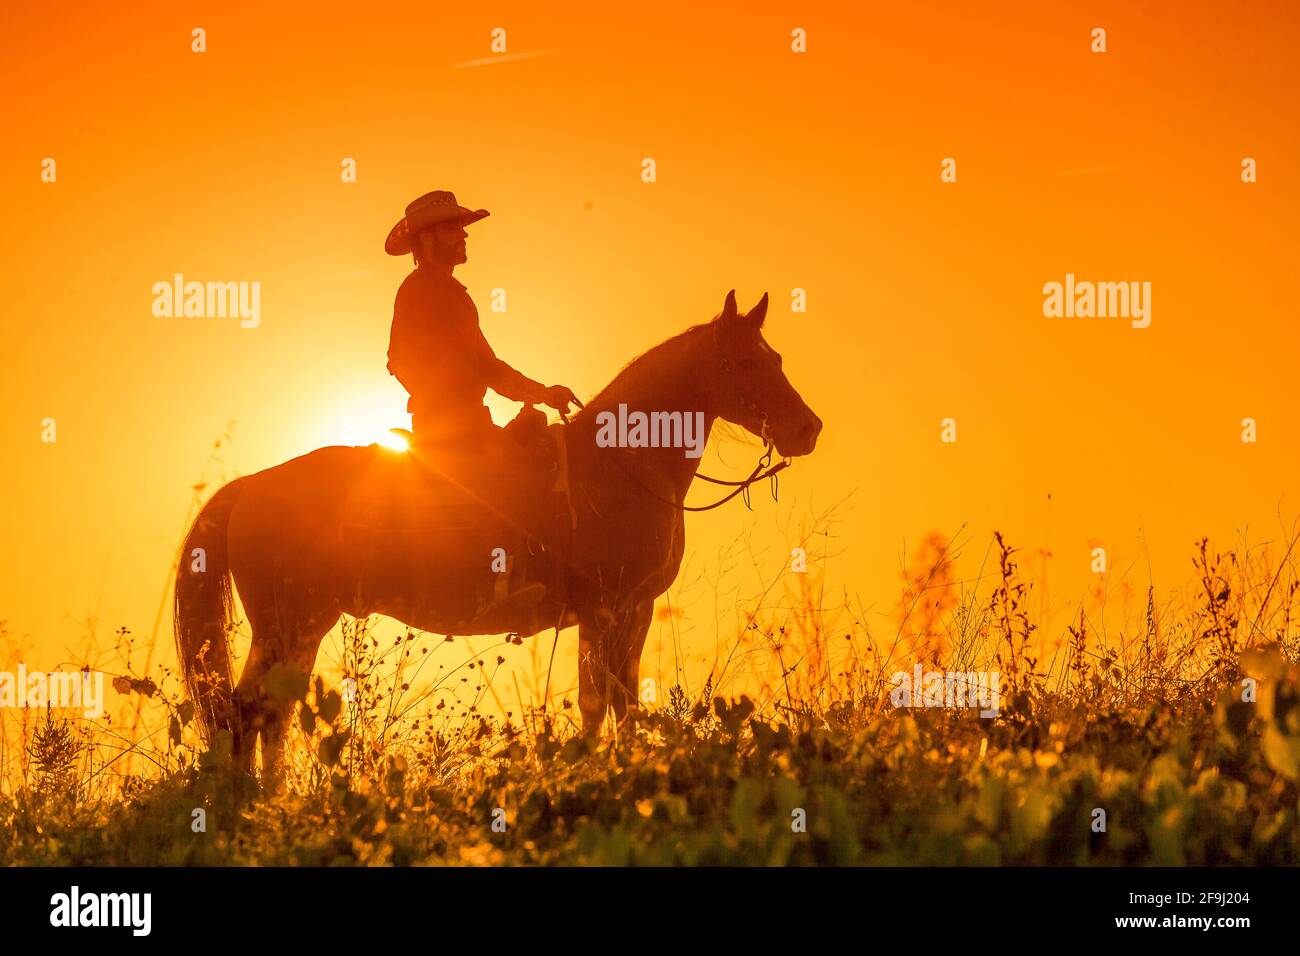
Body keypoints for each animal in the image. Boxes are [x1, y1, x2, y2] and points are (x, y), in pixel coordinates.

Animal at [174, 290, 821, 782]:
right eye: (743, 363)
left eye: (777, 357)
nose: (808, 428)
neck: (622, 463)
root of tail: (251, 486)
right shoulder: (603, 608)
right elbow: (596, 703)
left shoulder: (634, 610)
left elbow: (625, 703)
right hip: (289, 623)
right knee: (247, 713)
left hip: (297, 628)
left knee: (267, 715)